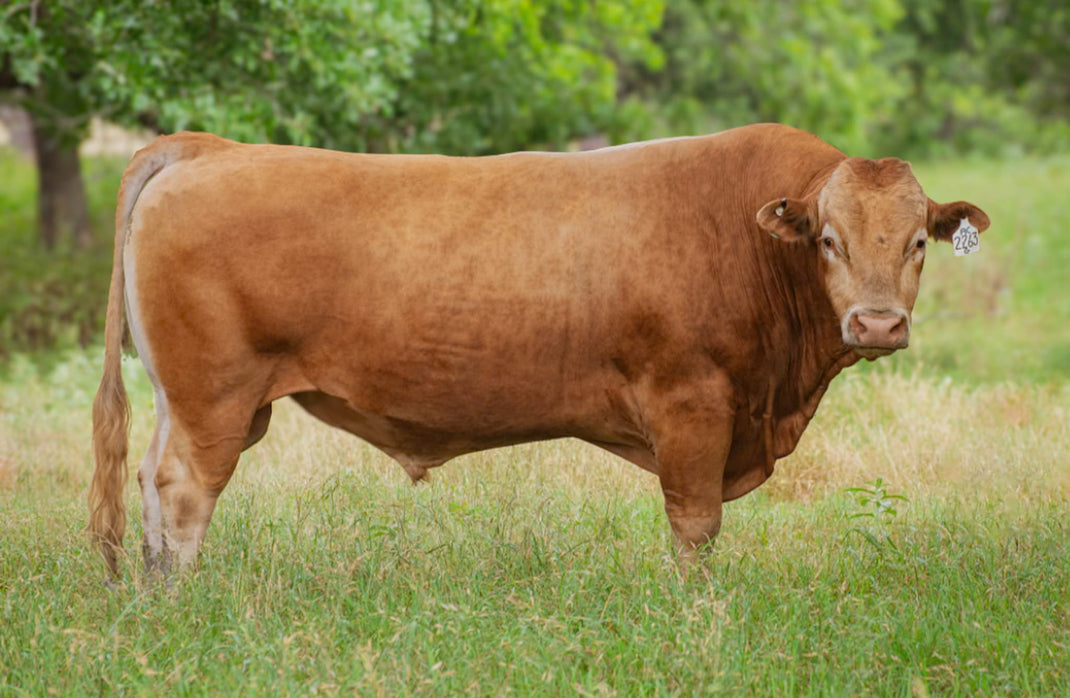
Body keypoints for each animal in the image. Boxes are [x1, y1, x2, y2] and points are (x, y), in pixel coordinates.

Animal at [89, 124, 989, 576]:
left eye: (917, 241)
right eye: (830, 240)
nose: (877, 325)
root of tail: (214, 147)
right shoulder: (693, 403)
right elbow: (694, 528)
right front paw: (698, 615)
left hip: (190, 398)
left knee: (152, 484)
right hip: (215, 396)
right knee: (182, 492)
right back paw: (184, 603)